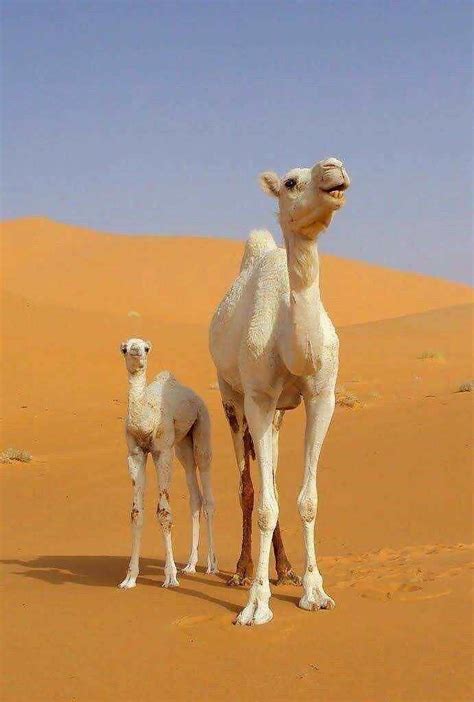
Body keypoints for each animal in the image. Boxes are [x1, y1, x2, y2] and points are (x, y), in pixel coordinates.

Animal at [118, 338, 217, 590]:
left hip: (202, 425)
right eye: (124, 348)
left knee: (208, 493)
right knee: (195, 495)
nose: (136, 352)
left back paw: (212, 565)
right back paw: (191, 565)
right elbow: (136, 513)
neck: (145, 419)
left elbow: (164, 513)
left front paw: (170, 577)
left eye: (146, 347)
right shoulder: (135, 454)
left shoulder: (162, 451)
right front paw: (129, 578)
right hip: (182, 444)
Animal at [209, 157, 350, 624]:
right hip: (230, 397)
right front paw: (255, 603)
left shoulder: (321, 397)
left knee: (269, 474)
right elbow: (263, 502)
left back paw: (285, 569)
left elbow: (306, 499)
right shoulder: (257, 397)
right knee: (249, 487)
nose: (334, 169)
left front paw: (314, 590)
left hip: (279, 414)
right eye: (290, 182)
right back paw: (239, 572)